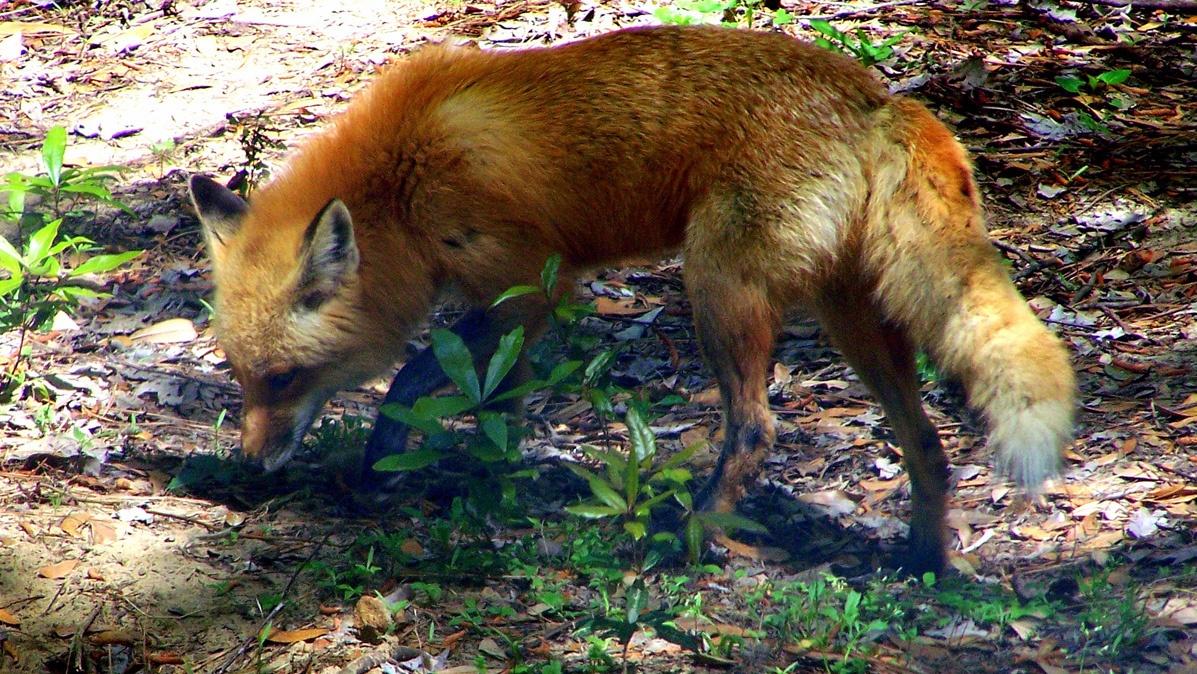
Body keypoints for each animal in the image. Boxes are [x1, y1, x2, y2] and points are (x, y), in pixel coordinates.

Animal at [188, 24, 1075, 573]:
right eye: (239, 377)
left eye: (282, 379)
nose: (252, 463)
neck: (400, 182)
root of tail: (879, 98)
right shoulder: (515, 306)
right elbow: (493, 405)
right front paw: (480, 478)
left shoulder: (528, 289)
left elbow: (418, 383)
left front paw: (401, 472)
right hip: (852, 319)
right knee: (925, 443)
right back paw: (925, 563)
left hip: (716, 288)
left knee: (755, 428)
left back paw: (692, 534)